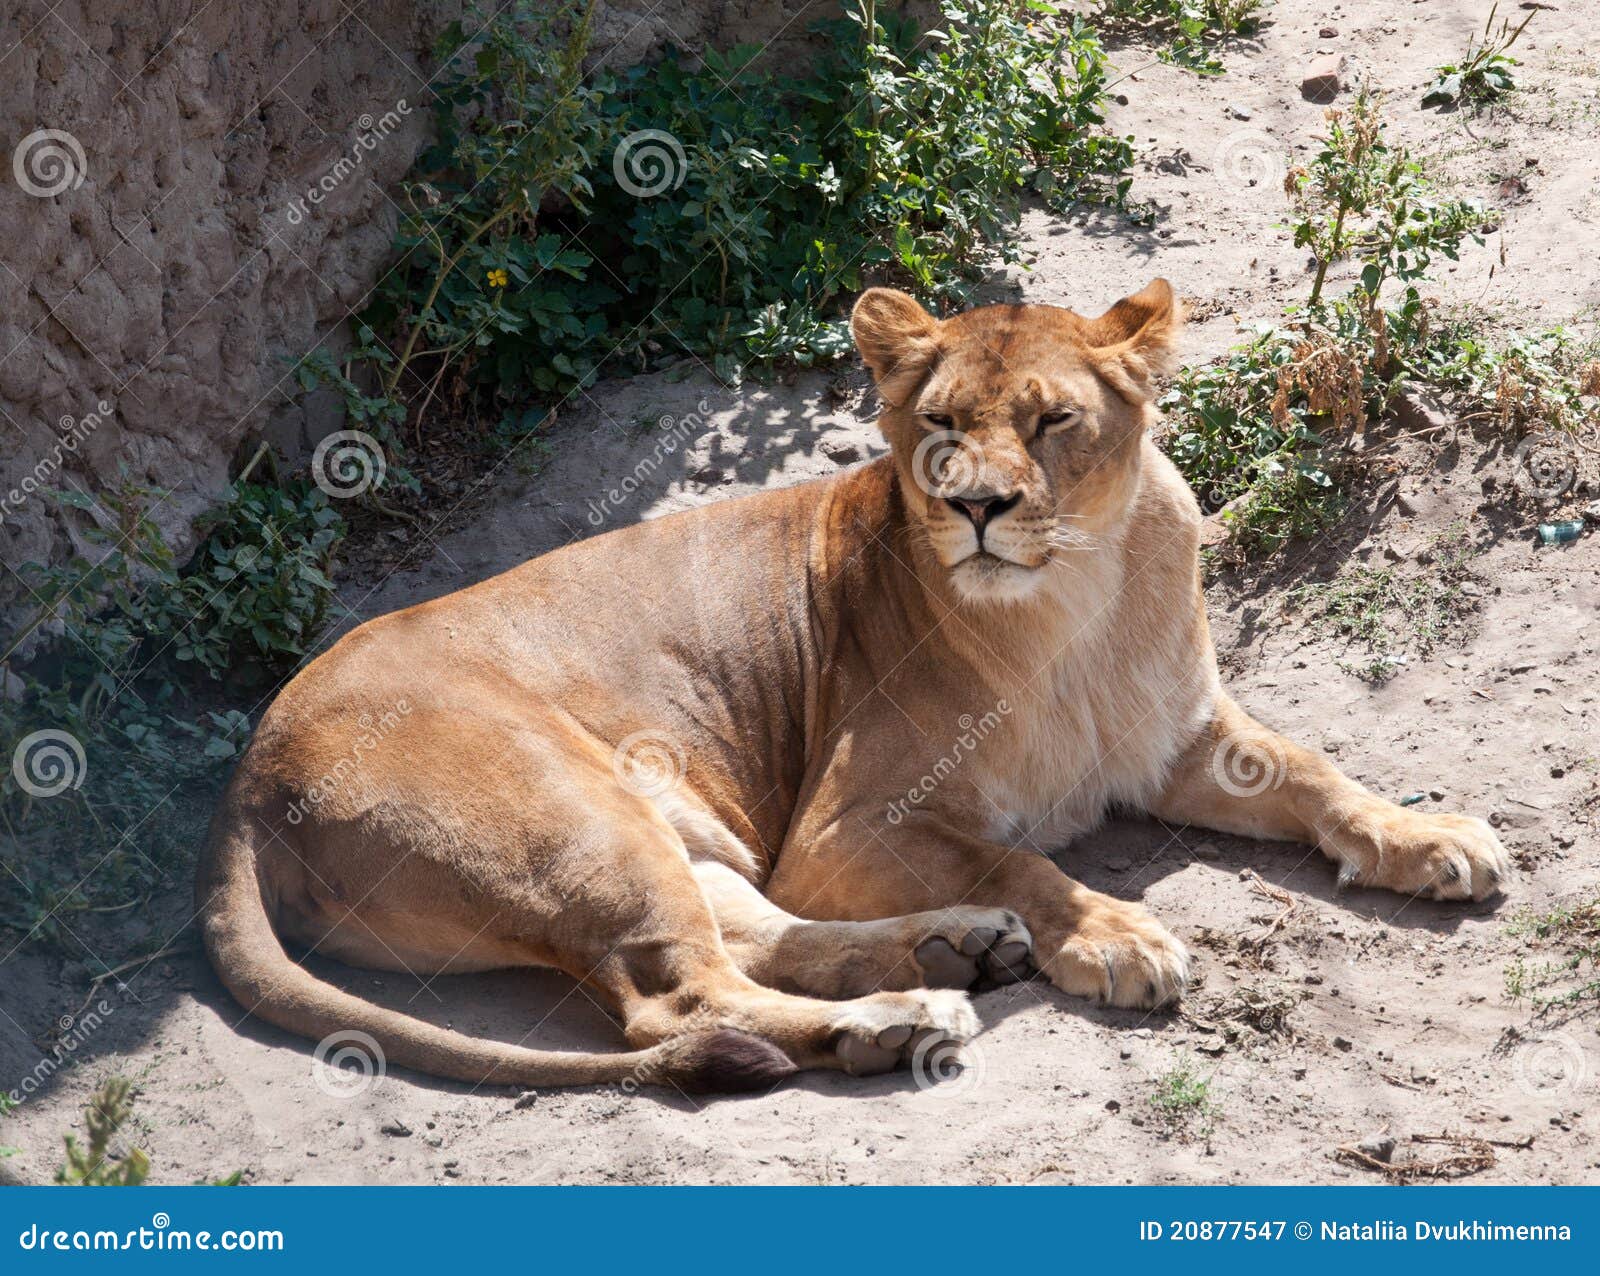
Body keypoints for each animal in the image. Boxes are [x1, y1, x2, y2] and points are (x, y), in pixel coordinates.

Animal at [198, 279, 1509, 1093]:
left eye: (1051, 422)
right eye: (939, 424)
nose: (978, 505)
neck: (1072, 607)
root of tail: (246, 786)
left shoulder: (1184, 736)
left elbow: (1314, 772)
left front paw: (1428, 835)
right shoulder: (834, 830)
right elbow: (1017, 857)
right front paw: (1110, 932)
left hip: (653, 835)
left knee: (744, 940)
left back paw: (950, 953)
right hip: (575, 814)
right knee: (681, 1001)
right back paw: (905, 1016)